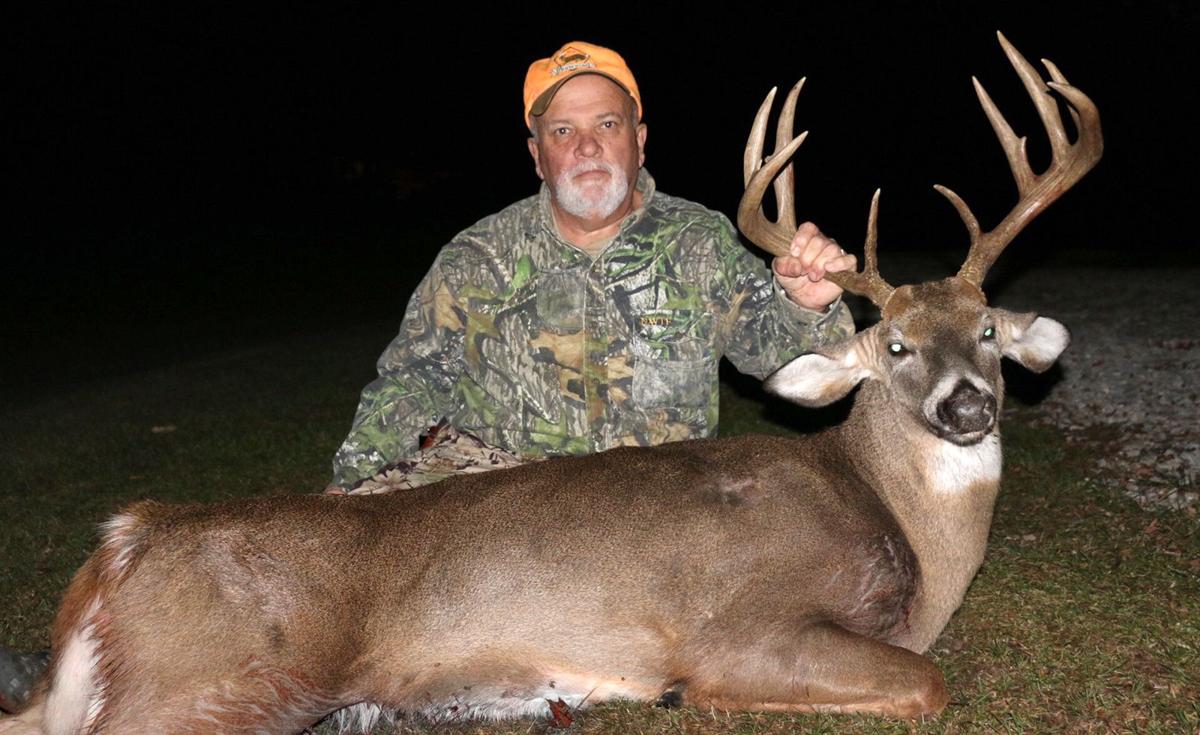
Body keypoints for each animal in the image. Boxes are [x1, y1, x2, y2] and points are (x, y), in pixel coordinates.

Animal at [1, 32, 1100, 734]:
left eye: (989, 333)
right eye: (899, 348)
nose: (970, 406)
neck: (897, 526)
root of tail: (124, 541)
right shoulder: (742, 627)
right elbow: (924, 682)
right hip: (228, 676)